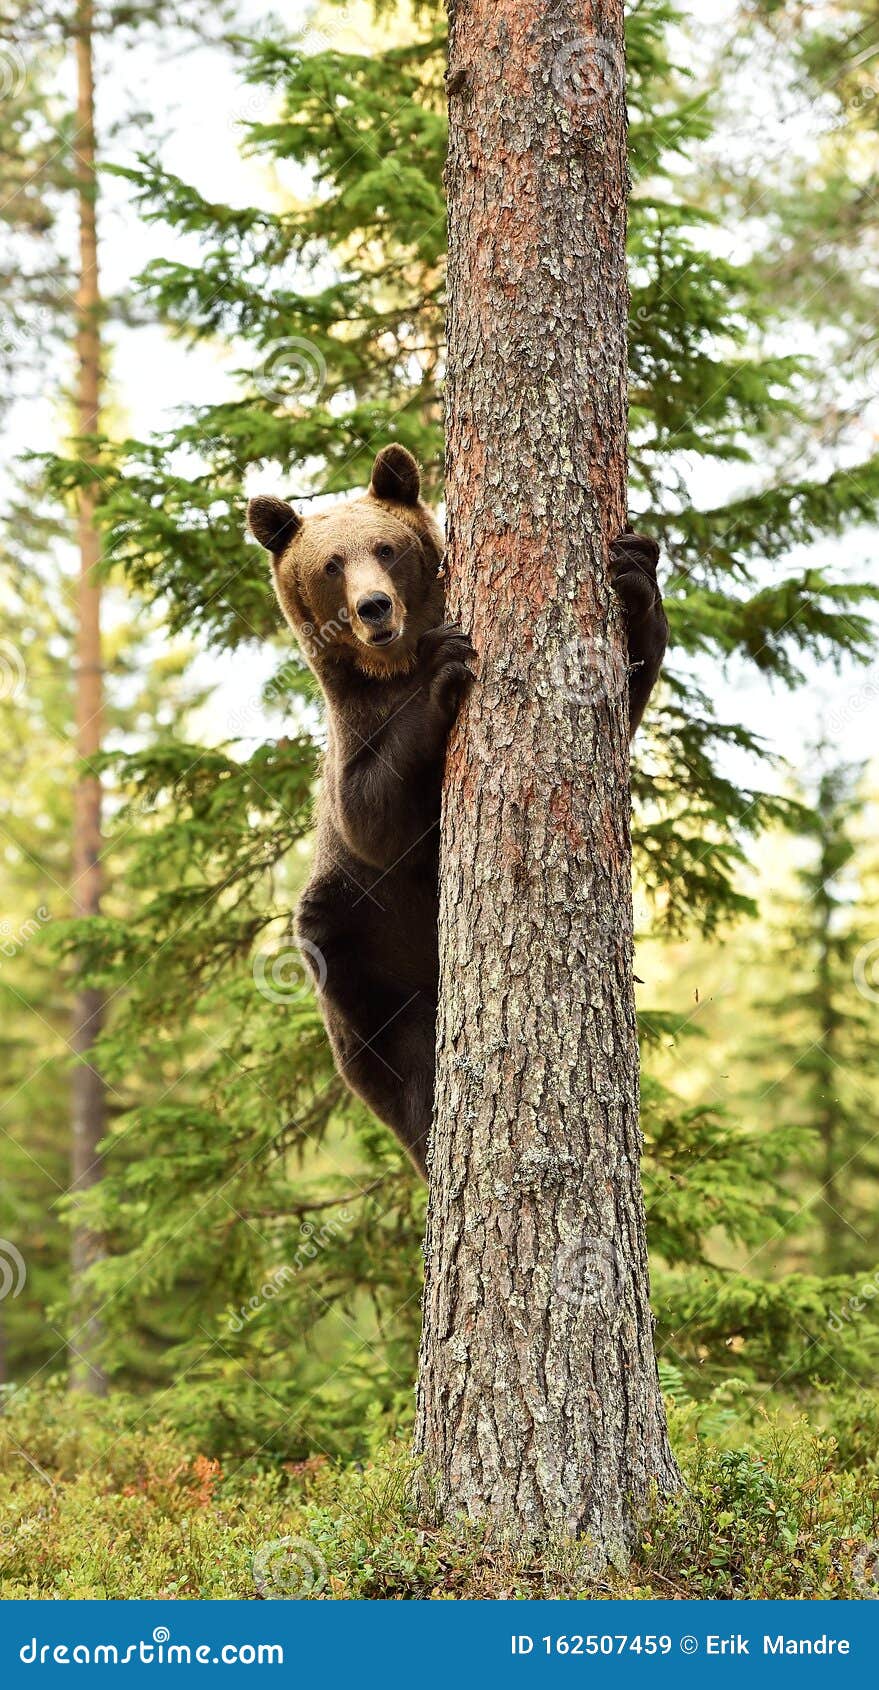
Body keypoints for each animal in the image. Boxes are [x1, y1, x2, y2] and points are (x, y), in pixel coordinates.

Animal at [248, 444, 667, 1179]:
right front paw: (445, 663)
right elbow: (373, 816)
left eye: (385, 548)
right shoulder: (353, 744)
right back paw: (427, 1130)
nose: (374, 607)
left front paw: (634, 570)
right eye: (331, 564)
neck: (388, 669)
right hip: (353, 937)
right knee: (388, 1055)